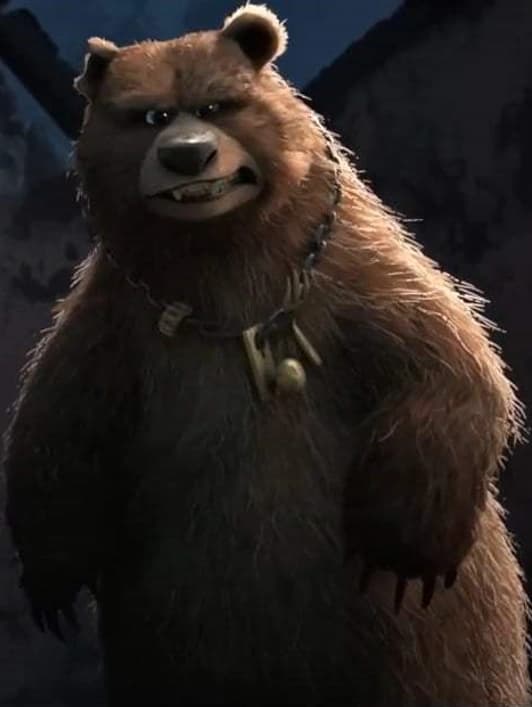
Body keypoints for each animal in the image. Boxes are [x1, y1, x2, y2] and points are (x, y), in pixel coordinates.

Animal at [3, 4, 530, 706]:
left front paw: (402, 548)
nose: (188, 156)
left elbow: (450, 367)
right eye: (150, 116)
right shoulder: (115, 323)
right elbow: (56, 426)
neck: (224, 264)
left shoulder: (354, 281)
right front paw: (53, 581)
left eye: (219, 104)